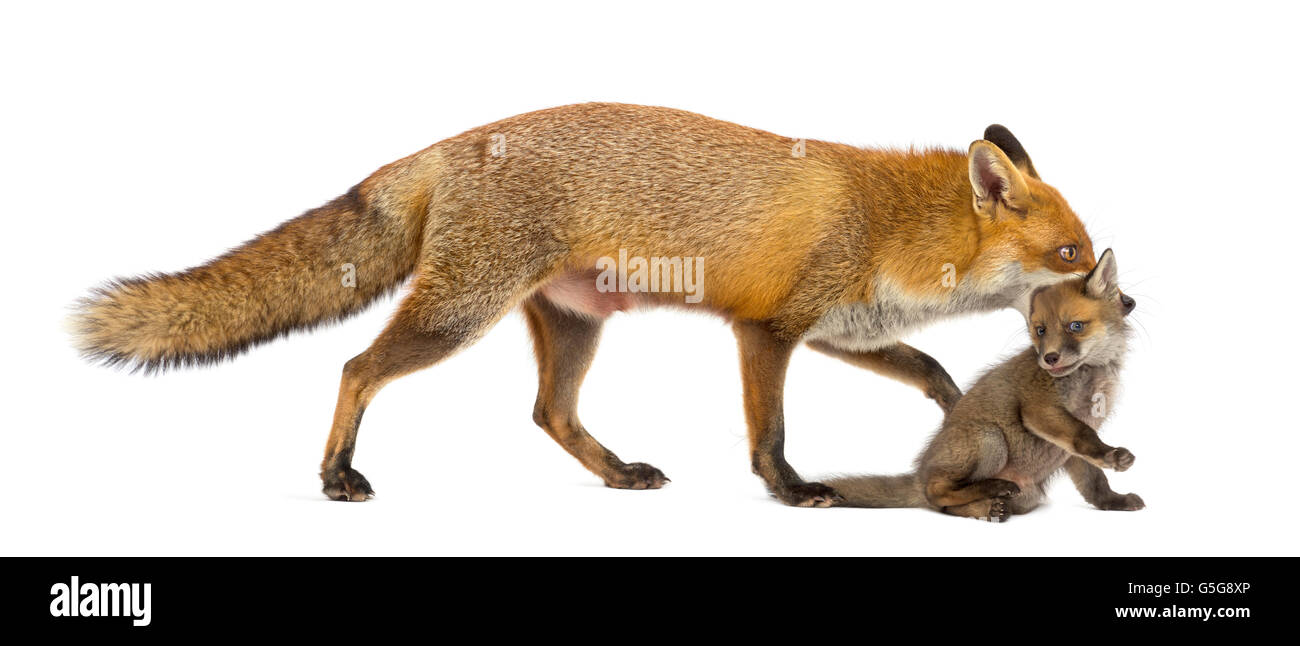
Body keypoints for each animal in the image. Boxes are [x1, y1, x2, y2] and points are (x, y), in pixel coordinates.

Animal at [70, 102, 1098, 506]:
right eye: (1070, 255)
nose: (1115, 292)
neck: (892, 226)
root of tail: (453, 142)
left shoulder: (836, 329)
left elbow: (929, 366)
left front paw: (963, 414)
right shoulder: (765, 329)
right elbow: (769, 432)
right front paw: (793, 491)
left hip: (572, 325)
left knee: (549, 414)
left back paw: (617, 473)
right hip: (458, 315)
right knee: (357, 367)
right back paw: (336, 474)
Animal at [826, 248, 1143, 521]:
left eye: (1075, 326)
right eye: (1040, 331)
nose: (1049, 359)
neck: (1091, 377)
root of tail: (920, 473)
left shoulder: (1073, 445)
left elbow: (1094, 483)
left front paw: (1114, 502)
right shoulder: (1041, 410)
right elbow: (1083, 435)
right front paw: (1112, 456)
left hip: (1024, 496)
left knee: (946, 507)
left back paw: (989, 506)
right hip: (990, 439)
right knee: (936, 493)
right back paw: (992, 488)